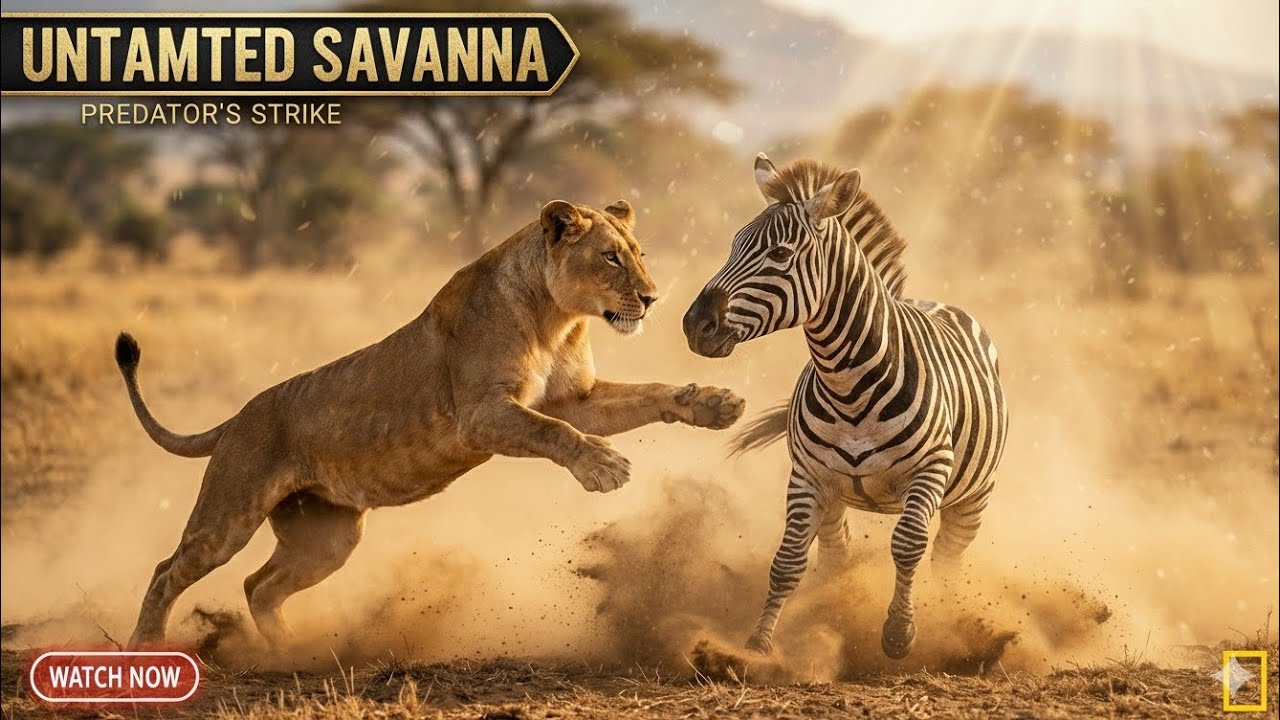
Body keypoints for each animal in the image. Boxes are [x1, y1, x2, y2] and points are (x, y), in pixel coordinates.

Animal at [116, 198, 746, 647]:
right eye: (610, 257)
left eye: (639, 253)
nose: (653, 297)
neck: (556, 318)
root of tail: (235, 418)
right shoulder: (482, 415)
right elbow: (555, 433)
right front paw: (603, 466)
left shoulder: (576, 398)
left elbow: (649, 394)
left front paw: (712, 404)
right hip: (231, 513)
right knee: (168, 570)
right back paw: (146, 647)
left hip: (328, 538)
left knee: (259, 587)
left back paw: (288, 651)